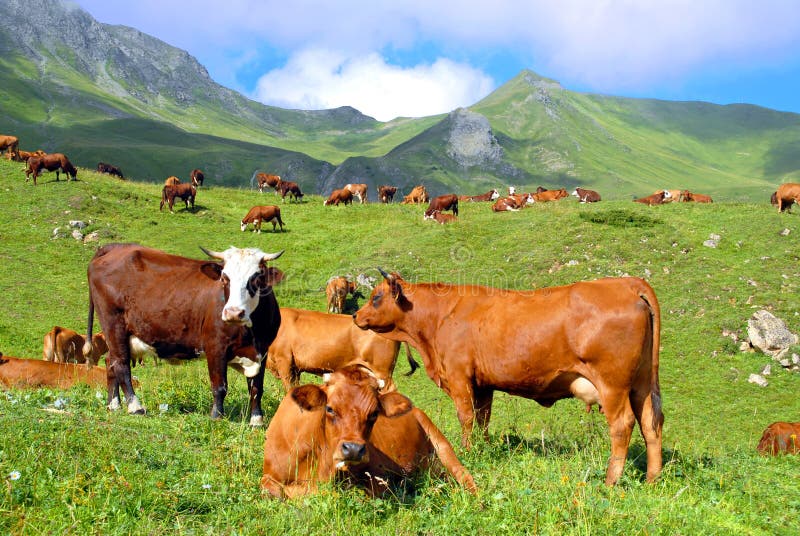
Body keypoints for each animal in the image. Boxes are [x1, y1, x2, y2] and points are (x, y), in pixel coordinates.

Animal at [83, 243, 284, 423]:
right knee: (121, 364)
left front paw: (256, 419)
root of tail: (115, 247)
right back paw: (135, 406)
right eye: (225, 279)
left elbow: (256, 388)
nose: (233, 313)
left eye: (256, 279)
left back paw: (113, 404)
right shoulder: (215, 347)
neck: (252, 333)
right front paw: (217, 416)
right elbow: (219, 386)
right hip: (113, 324)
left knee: (110, 361)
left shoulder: (262, 351)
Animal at [260, 365, 477, 499]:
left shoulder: (378, 478)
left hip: (442, 444)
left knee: (464, 476)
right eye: (329, 408)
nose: (353, 449)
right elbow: (277, 493)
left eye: (374, 414)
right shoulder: (268, 478)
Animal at [354, 271, 664, 486]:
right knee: (651, 423)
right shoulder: (482, 385)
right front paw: (483, 449)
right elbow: (482, 420)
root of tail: (626, 283)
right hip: (642, 384)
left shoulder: (459, 377)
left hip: (613, 385)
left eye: (376, 297)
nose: (356, 315)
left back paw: (611, 481)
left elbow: (466, 418)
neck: (441, 316)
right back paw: (652, 479)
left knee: (622, 425)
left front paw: (468, 451)